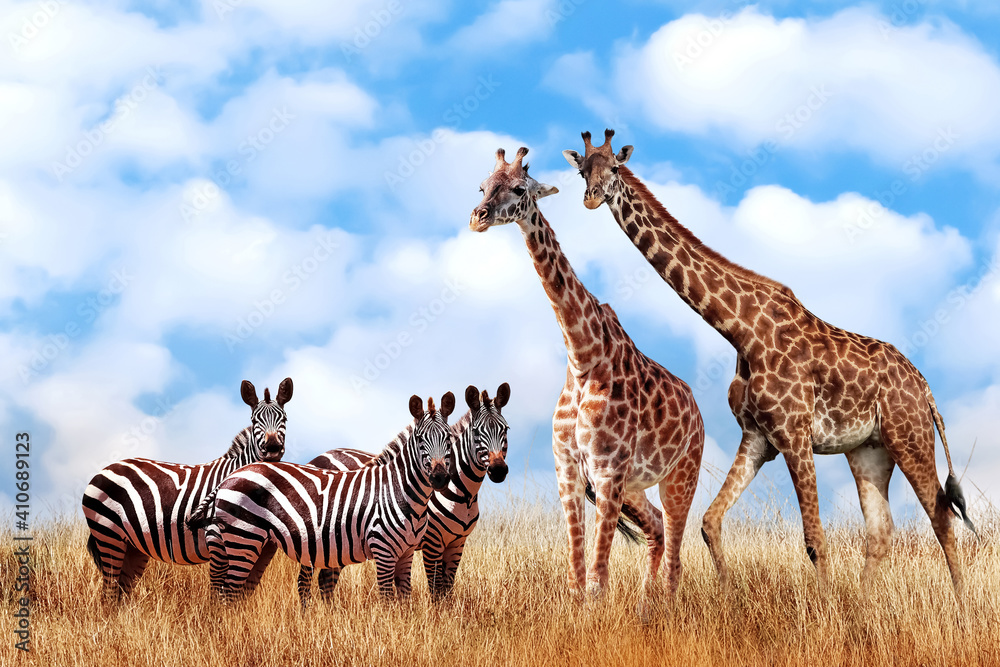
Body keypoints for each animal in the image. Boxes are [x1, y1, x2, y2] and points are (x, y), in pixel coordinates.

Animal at [81, 378, 293, 600]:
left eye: (285, 419)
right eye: (254, 421)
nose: (272, 448)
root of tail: (105, 469)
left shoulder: (264, 549)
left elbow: (243, 595)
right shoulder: (216, 539)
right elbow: (218, 594)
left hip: (133, 545)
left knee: (120, 593)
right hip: (108, 534)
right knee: (109, 592)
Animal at [187, 392, 456, 602]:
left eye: (449, 438)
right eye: (420, 440)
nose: (440, 478)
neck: (400, 490)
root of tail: (230, 476)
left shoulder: (406, 553)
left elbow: (404, 602)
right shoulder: (383, 550)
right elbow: (387, 600)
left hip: (254, 542)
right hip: (243, 538)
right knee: (229, 594)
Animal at [298, 383, 511, 605]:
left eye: (506, 429)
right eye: (477, 433)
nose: (498, 471)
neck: (464, 494)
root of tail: (319, 457)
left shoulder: (457, 543)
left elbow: (447, 588)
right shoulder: (432, 542)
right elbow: (436, 588)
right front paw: (438, 613)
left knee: (326, 578)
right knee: (306, 577)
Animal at [470, 146, 705, 609]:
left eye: (520, 188)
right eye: (483, 185)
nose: (478, 217)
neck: (582, 356)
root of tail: (699, 412)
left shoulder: (607, 469)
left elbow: (598, 577)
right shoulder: (569, 469)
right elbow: (577, 575)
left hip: (679, 477)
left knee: (675, 553)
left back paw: (661, 606)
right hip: (635, 487)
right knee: (656, 531)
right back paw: (644, 604)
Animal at [564, 129, 977, 595]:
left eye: (615, 167)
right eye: (582, 170)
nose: (591, 198)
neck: (739, 329)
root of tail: (924, 386)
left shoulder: (794, 434)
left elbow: (815, 538)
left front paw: (824, 607)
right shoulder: (758, 437)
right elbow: (709, 522)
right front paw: (727, 594)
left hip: (909, 435)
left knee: (941, 517)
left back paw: (960, 604)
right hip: (868, 450)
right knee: (881, 531)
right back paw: (865, 602)